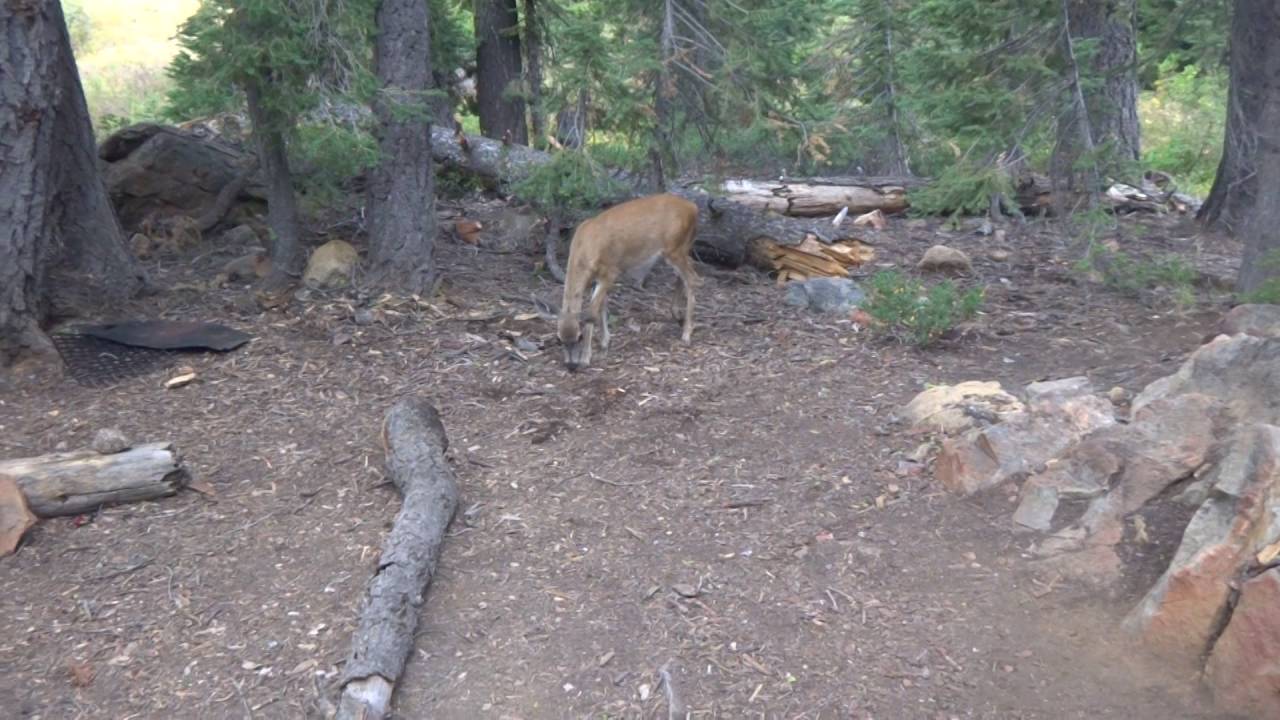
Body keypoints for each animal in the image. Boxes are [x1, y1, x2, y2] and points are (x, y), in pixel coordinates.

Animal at [536, 193, 700, 371]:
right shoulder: (595, 279)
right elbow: (602, 307)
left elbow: (593, 312)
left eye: (579, 337)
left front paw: (586, 358)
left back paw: (686, 333)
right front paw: (605, 342)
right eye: (559, 339)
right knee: (686, 271)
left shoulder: (611, 272)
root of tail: (693, 207)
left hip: (674, 247)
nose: (571, 365)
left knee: (693, 278)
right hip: (681, 248)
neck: (585, 248)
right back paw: (677, 316)